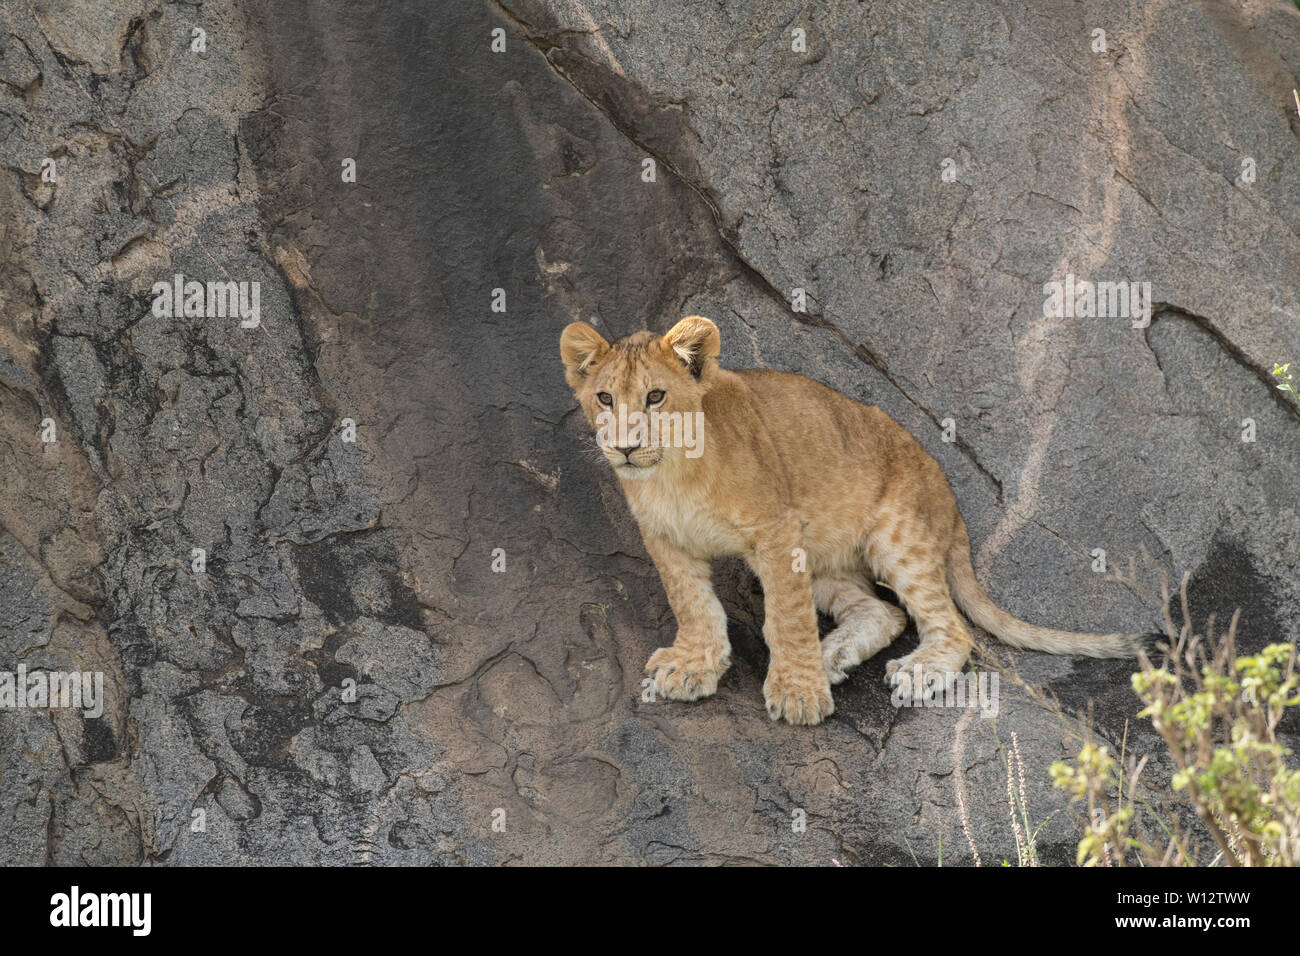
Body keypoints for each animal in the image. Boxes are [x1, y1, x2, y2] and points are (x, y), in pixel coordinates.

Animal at [560, 315, 1153, 725]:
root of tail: (950, 499)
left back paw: (914, 671)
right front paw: (693, 665)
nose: (625, 447)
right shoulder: (665, 538)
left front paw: (798, 692)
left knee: (951, 626)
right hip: (826, 555)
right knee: (883, 614)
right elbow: (691, 602)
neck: (672, 474)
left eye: (656, 396)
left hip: (898, 535)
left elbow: (787, 618)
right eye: (604, 398)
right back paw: (835, 655)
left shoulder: (778, 531)